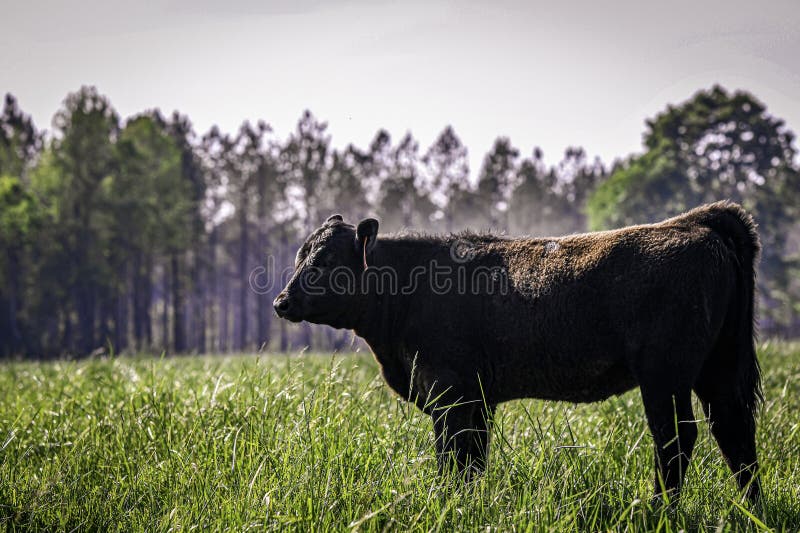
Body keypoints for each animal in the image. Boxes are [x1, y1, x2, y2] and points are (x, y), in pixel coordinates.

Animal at [273, 201, 762, 503]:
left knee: (677, 438)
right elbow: (473, 458)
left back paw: (659, 509)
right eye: (299, 256)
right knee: (733, 430)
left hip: (665, 375)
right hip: (716, 370)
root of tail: (693, 222)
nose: (281, 302)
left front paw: (447, 501)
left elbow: (452, 455)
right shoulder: (477, 399)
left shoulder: (448, 394)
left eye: (325, 261)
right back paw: (750, 508)